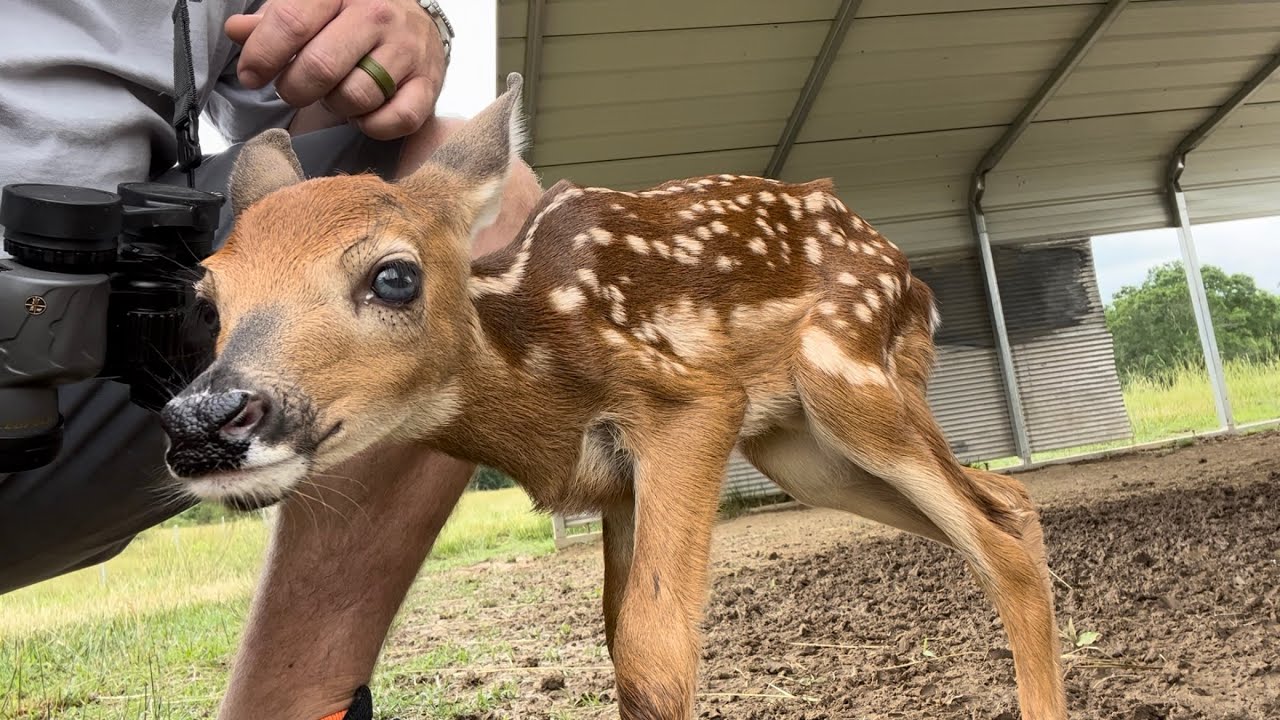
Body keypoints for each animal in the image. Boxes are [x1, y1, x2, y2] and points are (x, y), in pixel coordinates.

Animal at [157, 73, 1067, 720]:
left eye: (394, 275)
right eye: (207, 299)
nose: (202, 420)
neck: (533, 376)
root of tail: (910, 274)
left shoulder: (692, 402)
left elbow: (654, 659)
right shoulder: (620, 487)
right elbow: (617, 644)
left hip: (846, 372)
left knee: (999, 539)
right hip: (804, 451)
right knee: (1011, 505)